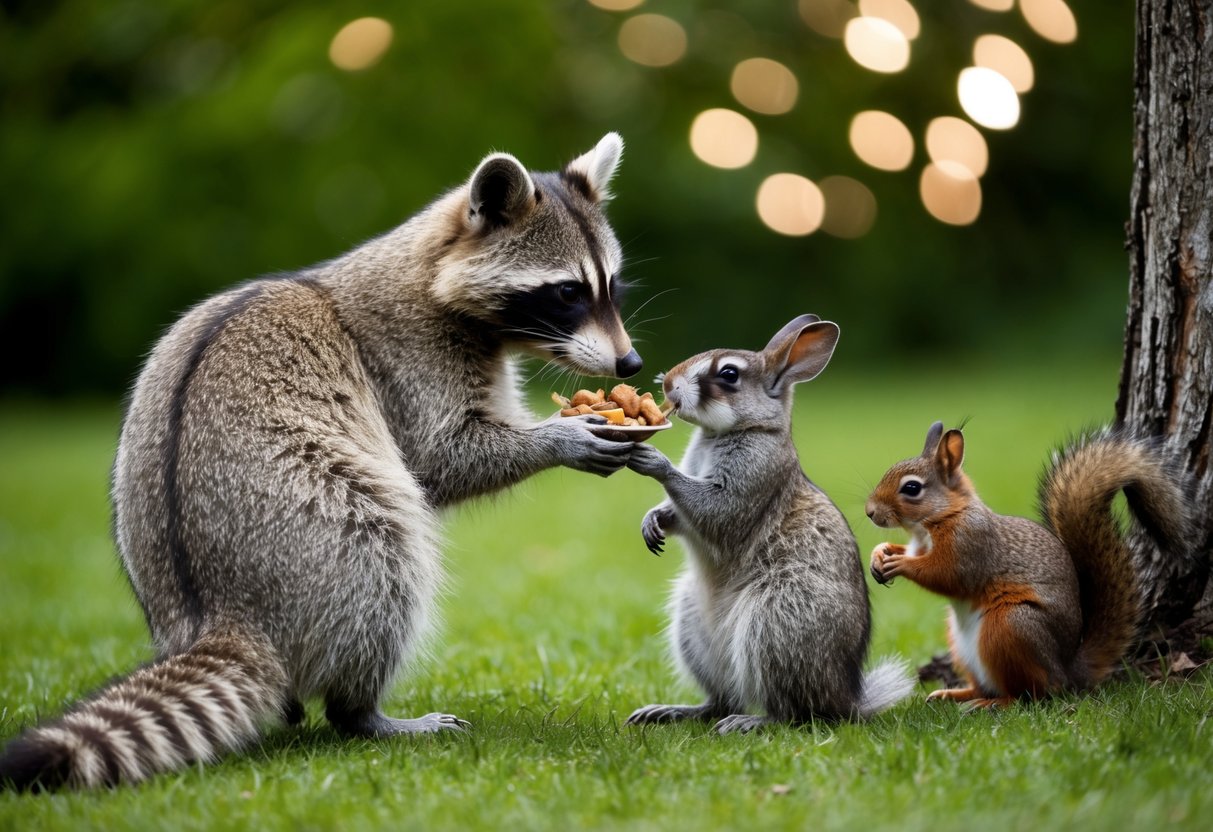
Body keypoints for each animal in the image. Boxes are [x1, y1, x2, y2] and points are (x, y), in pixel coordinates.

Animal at [0, 134, 641, 790]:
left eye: (611, 286)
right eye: (567, 293)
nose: (631, 364)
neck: (428, 270)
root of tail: (217, 613)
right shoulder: (407, 362)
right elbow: (439, 461)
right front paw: (558, 438)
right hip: (318, 528)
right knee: (384, 549)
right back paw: (360, 711)